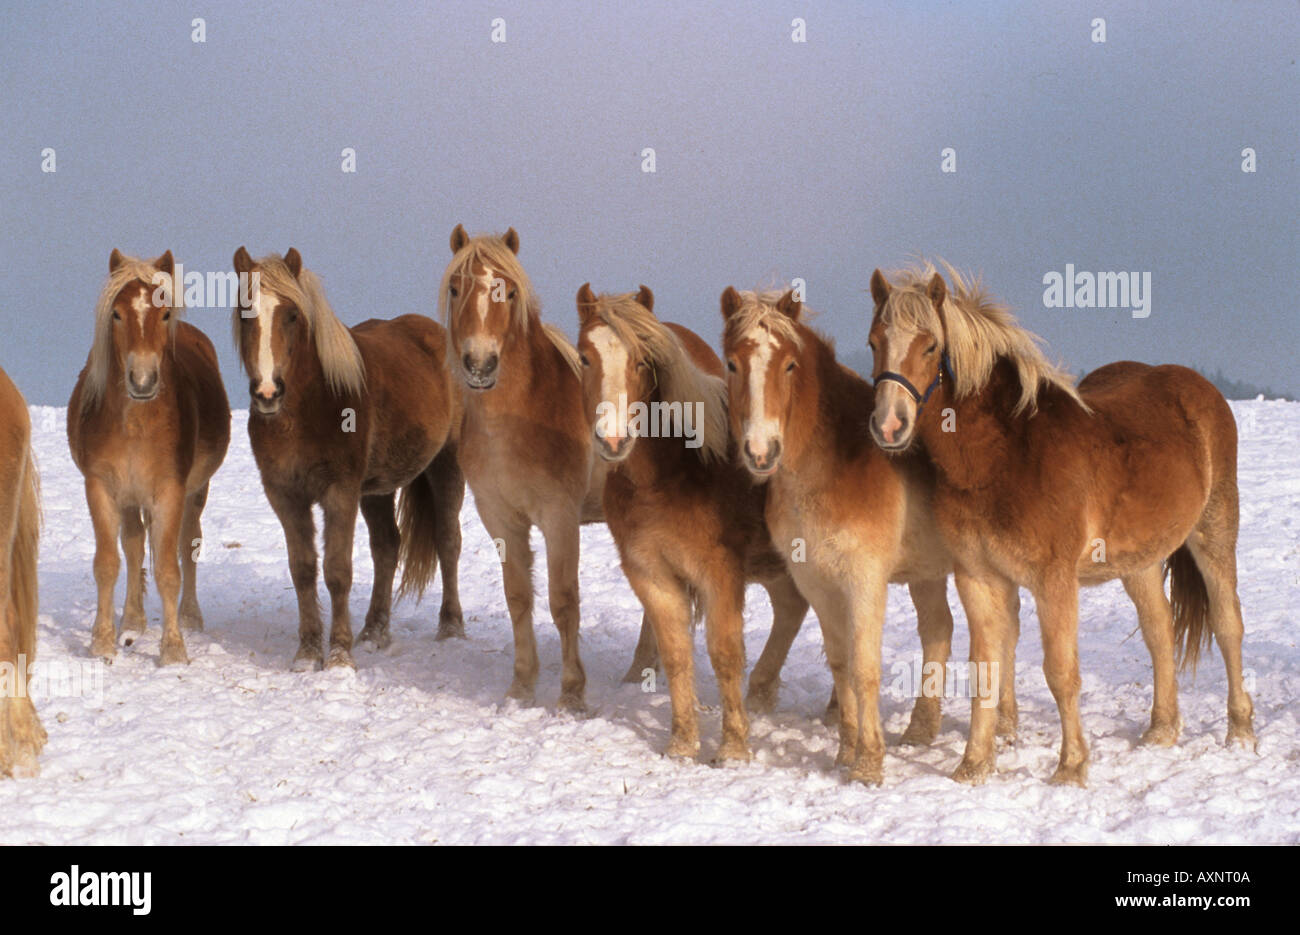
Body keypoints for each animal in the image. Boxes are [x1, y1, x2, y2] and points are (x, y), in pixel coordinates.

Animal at [68, 250, 230, 666]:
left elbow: (169, 570)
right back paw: (132, 620)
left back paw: (190, 617)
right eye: (116, 314)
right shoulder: (101, 488)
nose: (142, 381)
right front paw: (102, 641)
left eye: (165, 314)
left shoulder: (169, 491)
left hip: (196, 491)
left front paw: (173, 649)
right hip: (129, 497)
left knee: (189, 544)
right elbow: (108, 563)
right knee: (133, 545)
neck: (136, 424)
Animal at [231, 247, 464, 670]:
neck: (311, 407)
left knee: (448, 540)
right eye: (245, 312)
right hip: (376, 490)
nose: (268, 392)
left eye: (292, 315)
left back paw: (451, 627)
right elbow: (303, 569)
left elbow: (337, 570)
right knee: (387, 548)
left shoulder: (339, 492)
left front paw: (339, 655)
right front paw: (308, 653)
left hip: (446, 466)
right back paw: (373, 632)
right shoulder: (285, 496)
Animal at [575, 283, 813, 761]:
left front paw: (734, 748)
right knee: (792, 608)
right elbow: (676, 653)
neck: (670, 476)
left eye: (641, 361)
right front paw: (682, 743)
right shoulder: (651, 574)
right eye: (585, 356)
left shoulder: (719, 574)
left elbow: (724, 654)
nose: (613, 439)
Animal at [720, 285, 1016, 785]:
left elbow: (863, 668)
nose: (760, 452)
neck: (831, 467)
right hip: (928, 572)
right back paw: (921, 729)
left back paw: (1006, 729)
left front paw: (868, 763)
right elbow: (840, 663)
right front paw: (845, 751)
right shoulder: (818, 583)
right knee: (939, 629)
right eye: (732, 364)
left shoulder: (864, 582)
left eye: (789, 365)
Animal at [865, 263, 1255, 785]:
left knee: (1228, 624)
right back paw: (1161, 730)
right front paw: (974, 764)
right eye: (873, 342)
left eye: (929, 346)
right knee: (1159, 631)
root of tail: (1198, 388)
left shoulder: (1054, 580)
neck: (1004, 455)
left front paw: (1071, 766)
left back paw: (1240, 732)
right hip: (1139, 561)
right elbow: (986, 667)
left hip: (1214, 531)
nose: (889, 427)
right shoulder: (978, 578)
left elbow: (1060, 672)